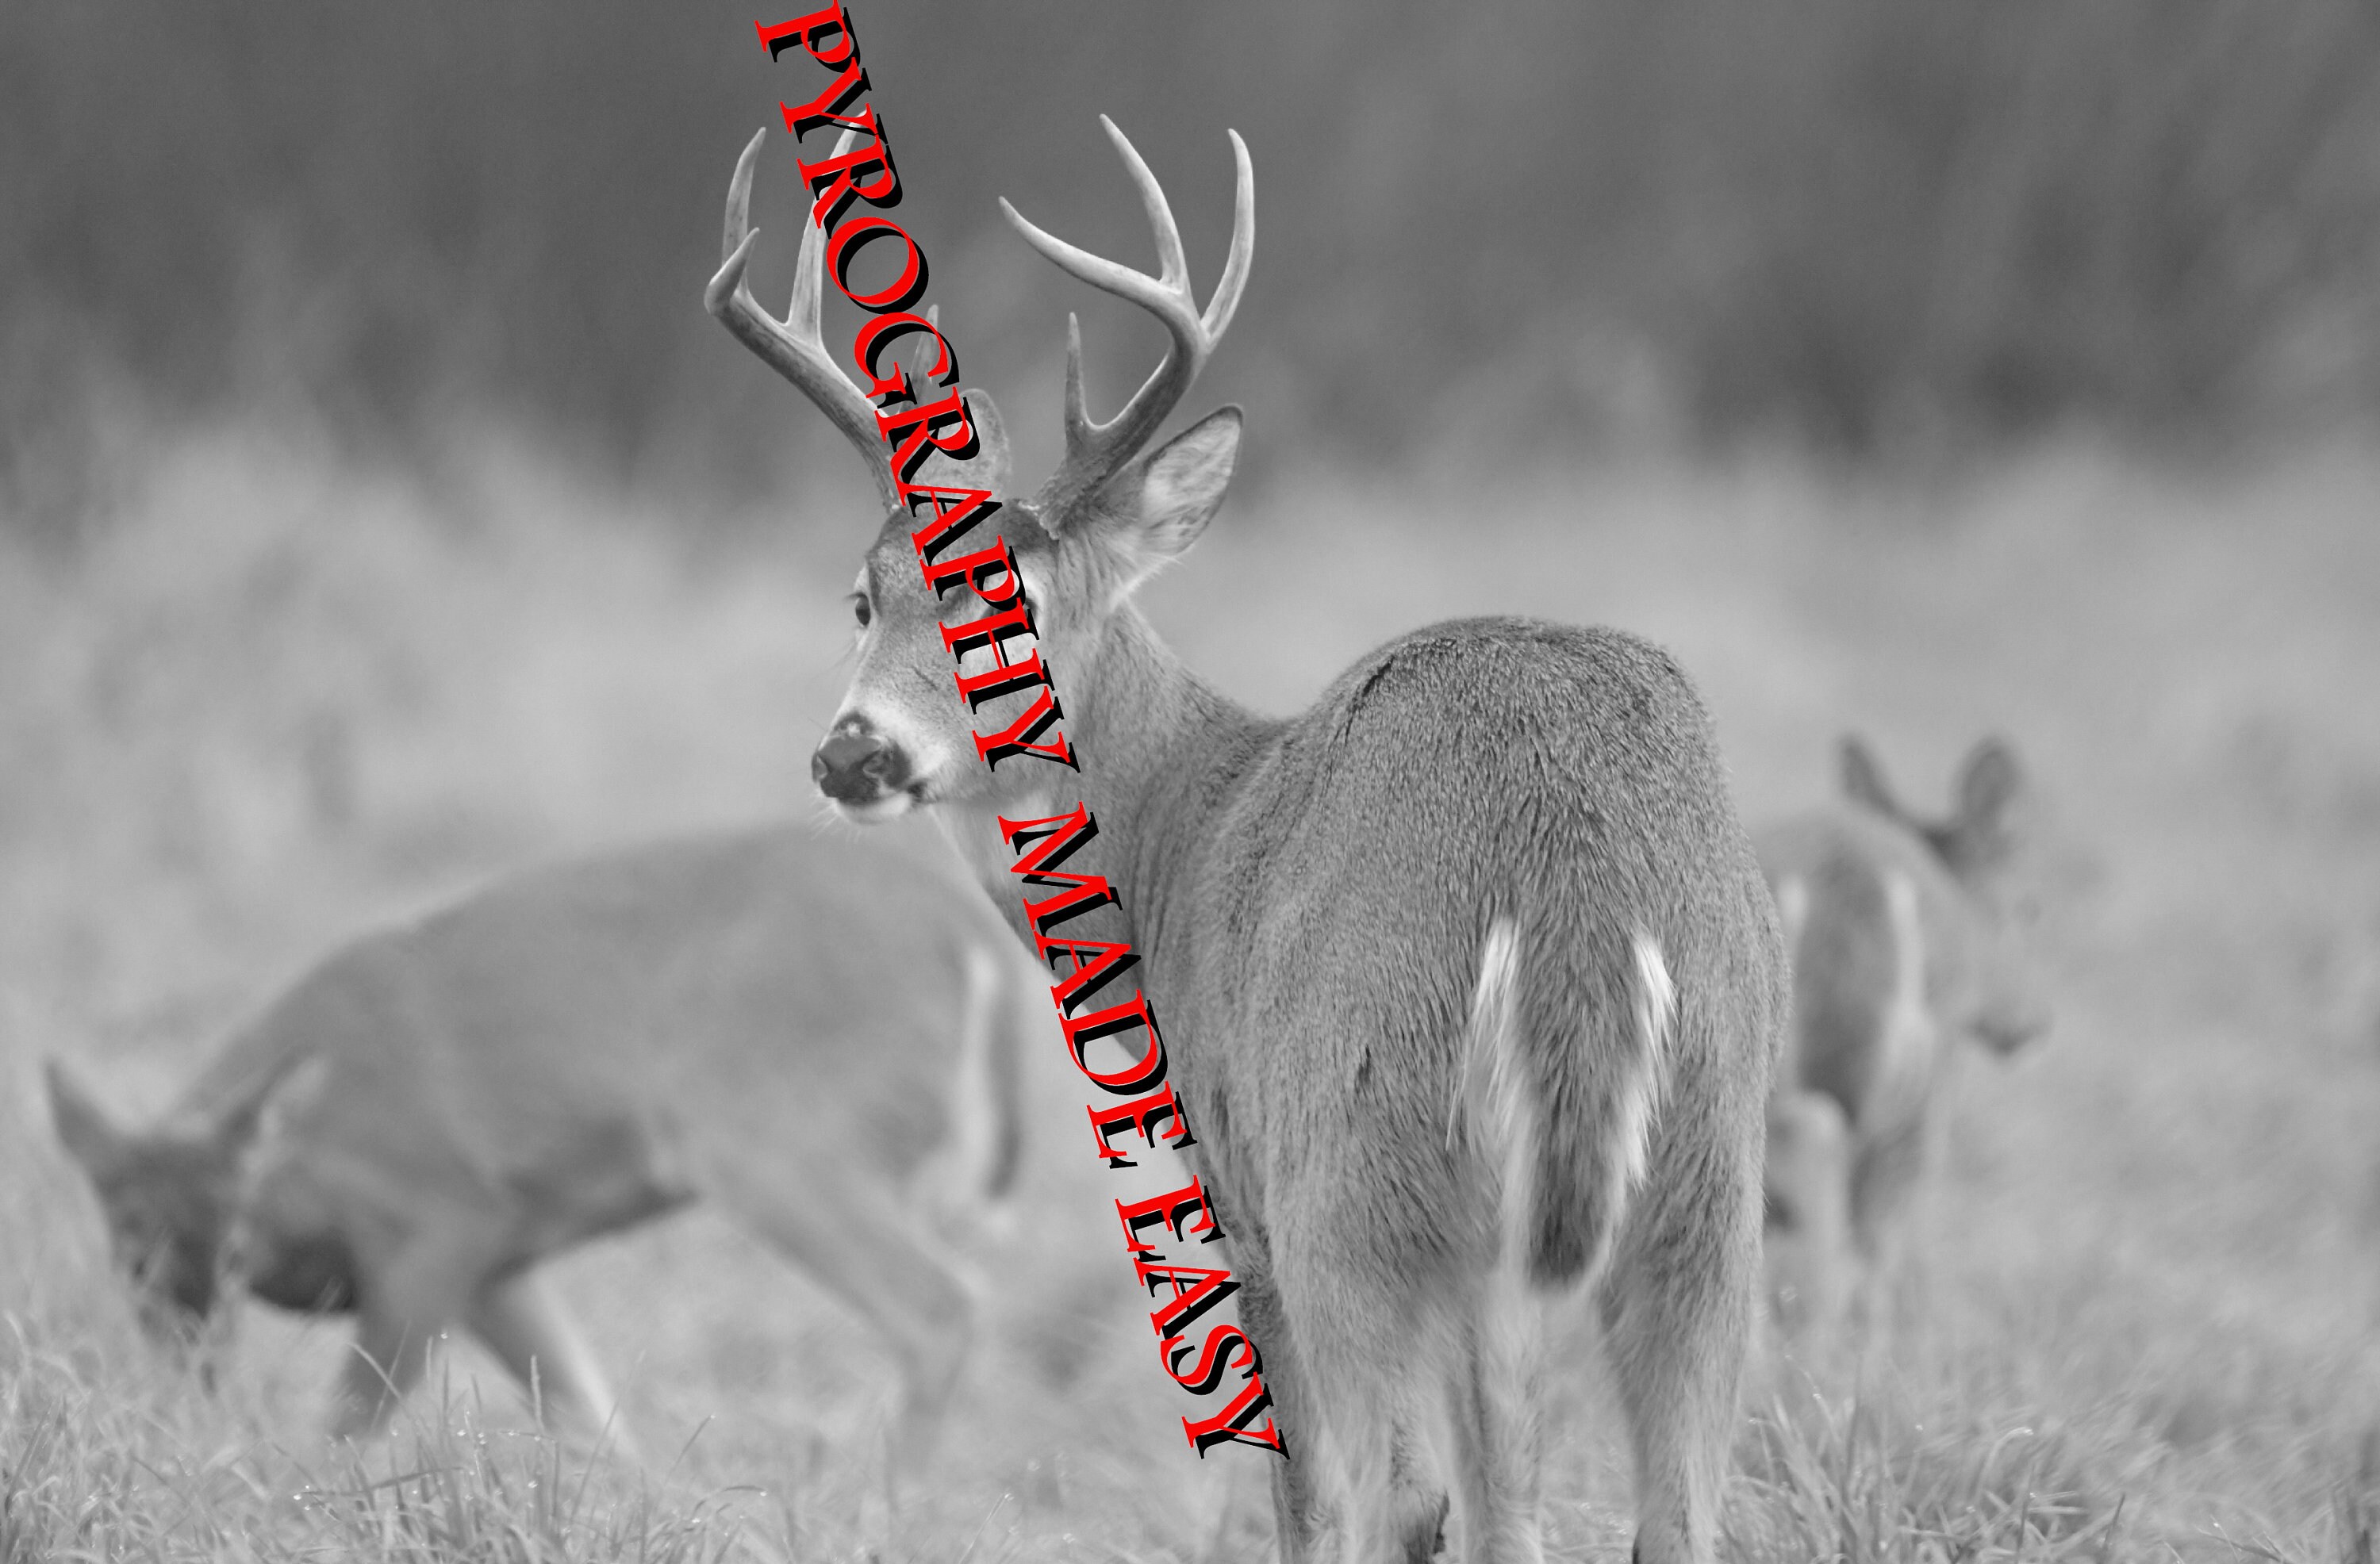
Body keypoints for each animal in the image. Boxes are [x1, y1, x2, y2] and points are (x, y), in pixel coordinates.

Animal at [45, 822, 1049, 1465]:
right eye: (126, 1249)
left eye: (239, 1238)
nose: (193, 1361)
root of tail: (967, 940)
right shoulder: (501, 1259)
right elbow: (593, 1420)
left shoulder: (442, 1219)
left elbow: (342, 1427)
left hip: (776, 1141)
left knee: (940, 1304)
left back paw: (879, 1506)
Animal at [705, 116, 1786, 1564]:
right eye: (862, 597)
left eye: (1014, 606)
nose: (853, 753)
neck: (1181, 836)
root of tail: (1571, 867)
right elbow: (1510, 1507)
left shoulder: (1232, 1189)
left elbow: (1318, 1492)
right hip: (1704, 1179)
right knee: (1669, 1507)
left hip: (1354, 1159)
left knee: (1395, 1493)